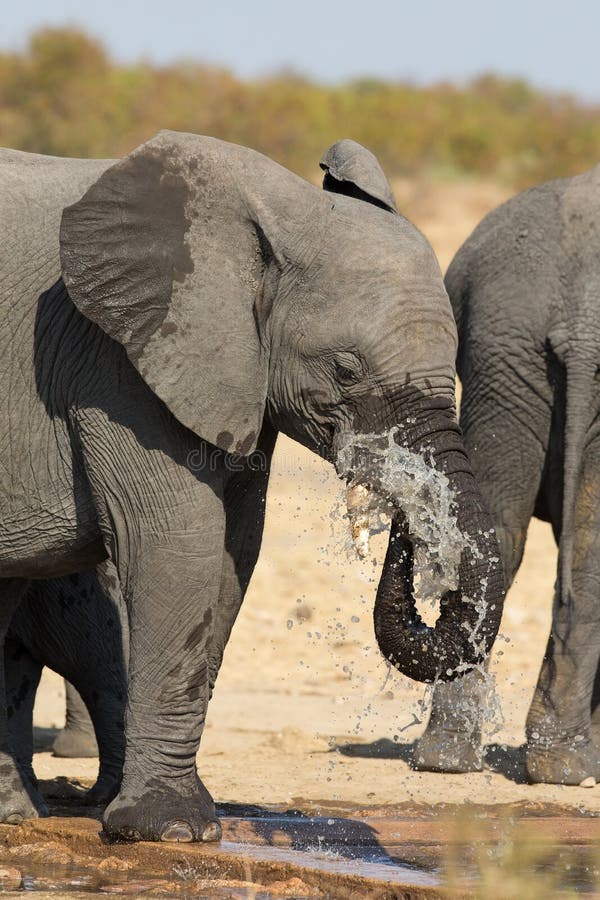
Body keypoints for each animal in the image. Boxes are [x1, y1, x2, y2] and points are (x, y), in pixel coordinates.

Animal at [0, 132, 505, 841]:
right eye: (345, 370)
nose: (401, 519)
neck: (274, 212)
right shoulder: (116, 360)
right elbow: (178, 539)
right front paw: (169, 830)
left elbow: (235, 548)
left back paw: (13, 814)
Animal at [410, 162, 600, 786]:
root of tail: (582, 313)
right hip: (507, 351)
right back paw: (567, 768)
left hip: (503, 348)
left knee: (501, 536)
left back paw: (448, 760)